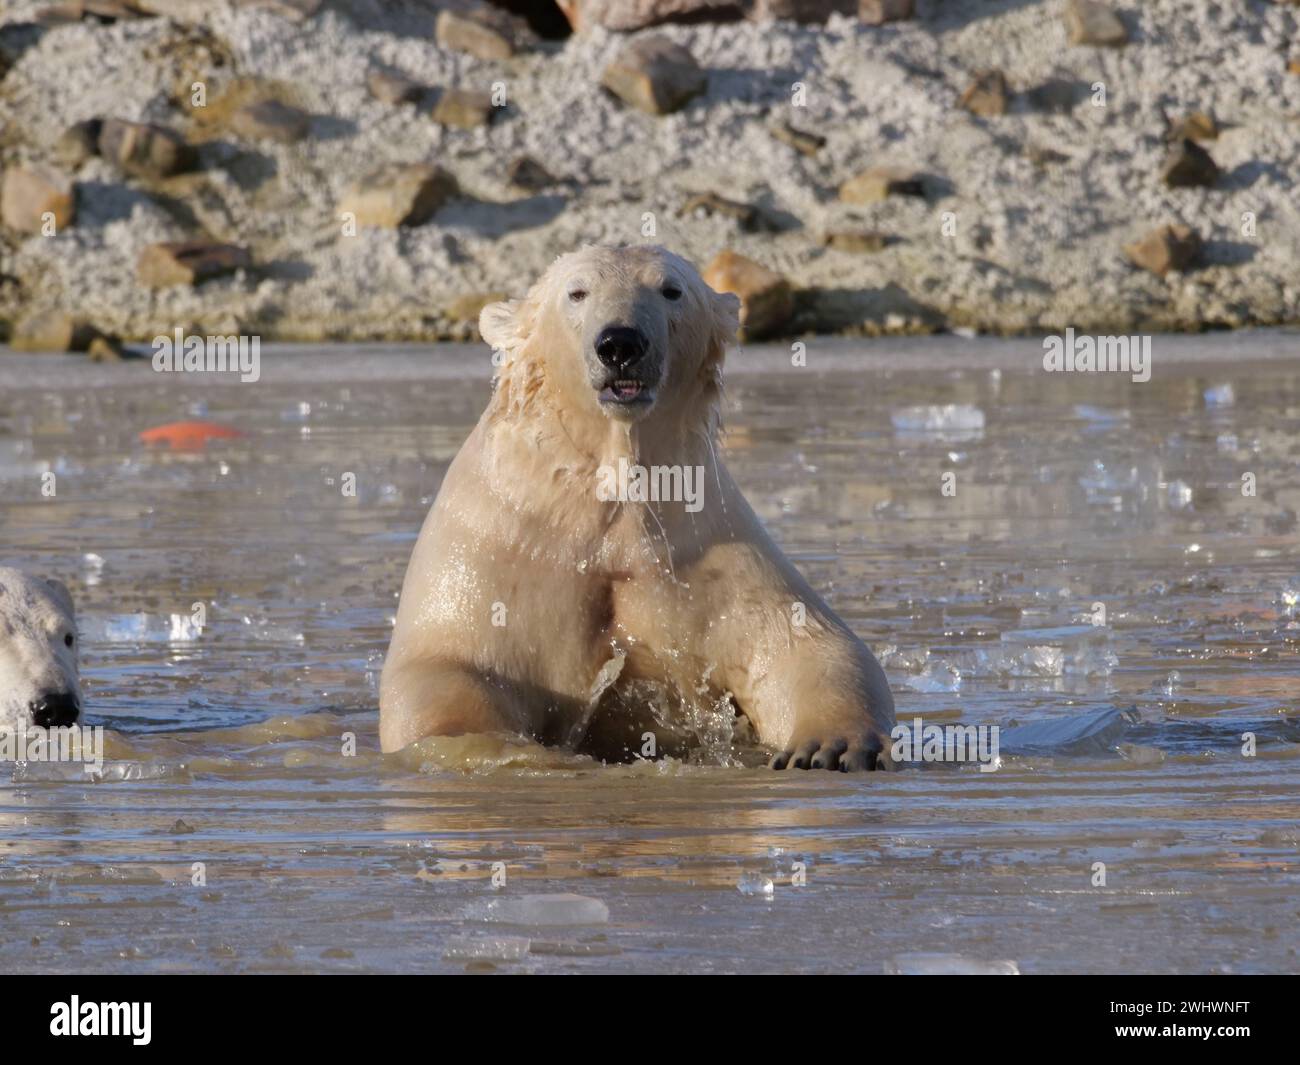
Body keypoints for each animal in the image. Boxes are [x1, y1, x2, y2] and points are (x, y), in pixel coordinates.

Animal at [379, 244, 896, 771]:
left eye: (671, 289)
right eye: (577, 292)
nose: (620, 344)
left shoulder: (711, 547)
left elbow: (801, 641)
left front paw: (827, 748)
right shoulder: (495, 548)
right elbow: (450, 667)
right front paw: (511, 752)